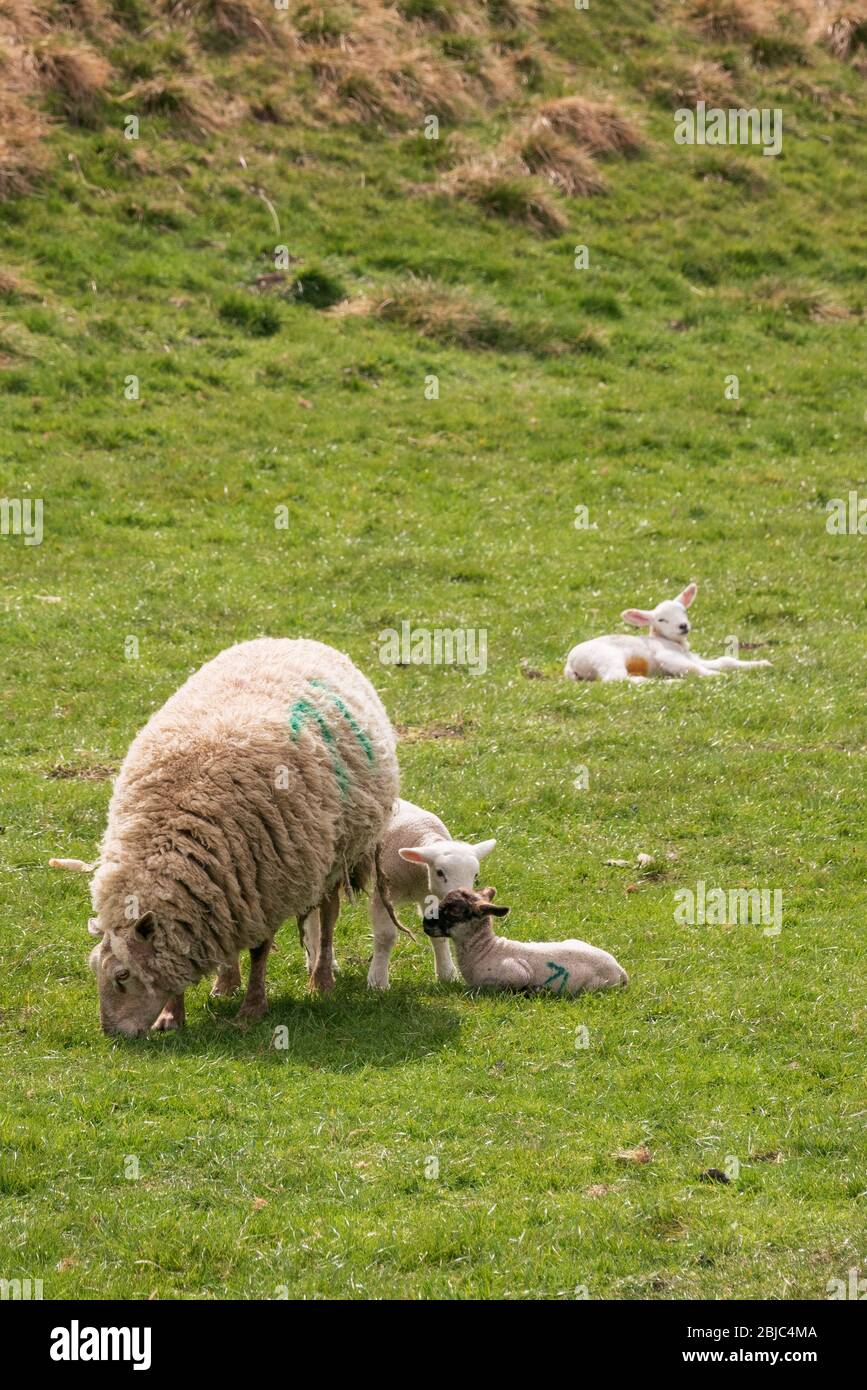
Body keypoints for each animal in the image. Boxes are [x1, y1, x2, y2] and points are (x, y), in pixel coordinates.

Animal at [53, 638, 399, 1036]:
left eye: (122, 975)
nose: (111, 1034)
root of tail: (291, 639)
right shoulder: (230, 886)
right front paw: (172, 1016)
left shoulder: (270, 887)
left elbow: (260, 951)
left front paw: (252, 1009)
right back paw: (226, 981)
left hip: (335, 856)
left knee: (328, 916)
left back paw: (321, 980)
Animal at [298, 798, 496, 989]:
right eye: (440, 872)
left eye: (475, 875)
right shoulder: (384, 895)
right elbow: (386, 936)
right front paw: (378, 982)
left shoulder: (429, 896)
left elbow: (437, 935)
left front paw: (447, 974)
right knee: (315, 919)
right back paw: (316, 962)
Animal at [423, 887, 627, 995]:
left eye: (454, 911)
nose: (425, 923)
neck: (484, 949)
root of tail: (620, 970)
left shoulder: (518, 973)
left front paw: (531, 990)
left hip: (592, 987)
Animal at [564, 583, 772, 682]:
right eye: (661, 620)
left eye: (684, 611)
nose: (683, 626)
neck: (677, 644)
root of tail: (570, 663)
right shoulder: (667, 655)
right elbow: (693, 668)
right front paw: (716, 676)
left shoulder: (694, 657)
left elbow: (725, 661)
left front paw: (762, 664)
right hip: (606, 658)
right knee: (618, 680)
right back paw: (671, 683)